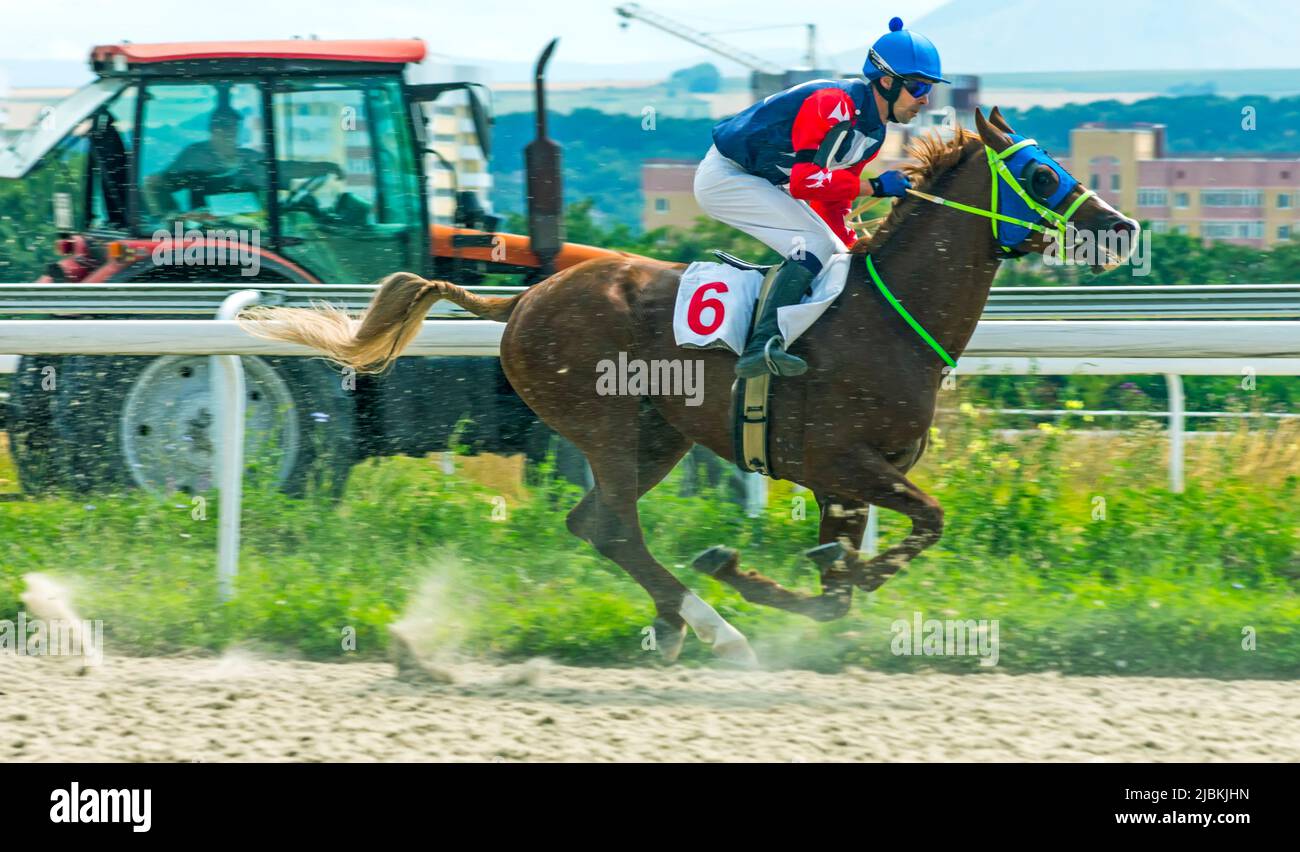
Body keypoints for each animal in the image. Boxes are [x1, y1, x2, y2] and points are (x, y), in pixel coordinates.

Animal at [241, 108, 1139, 666]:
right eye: (1041, 173)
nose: (1124, 228)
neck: (888, 317)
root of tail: (522, 299)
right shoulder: (842, 462)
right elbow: (926, 526)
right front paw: (743, 570)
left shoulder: (844, 483)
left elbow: (843, 587)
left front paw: (803, 580)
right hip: (604, 425)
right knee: (614, 528)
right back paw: (715, 630)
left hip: (658, 435)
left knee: (594, 523)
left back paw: (678, 623)